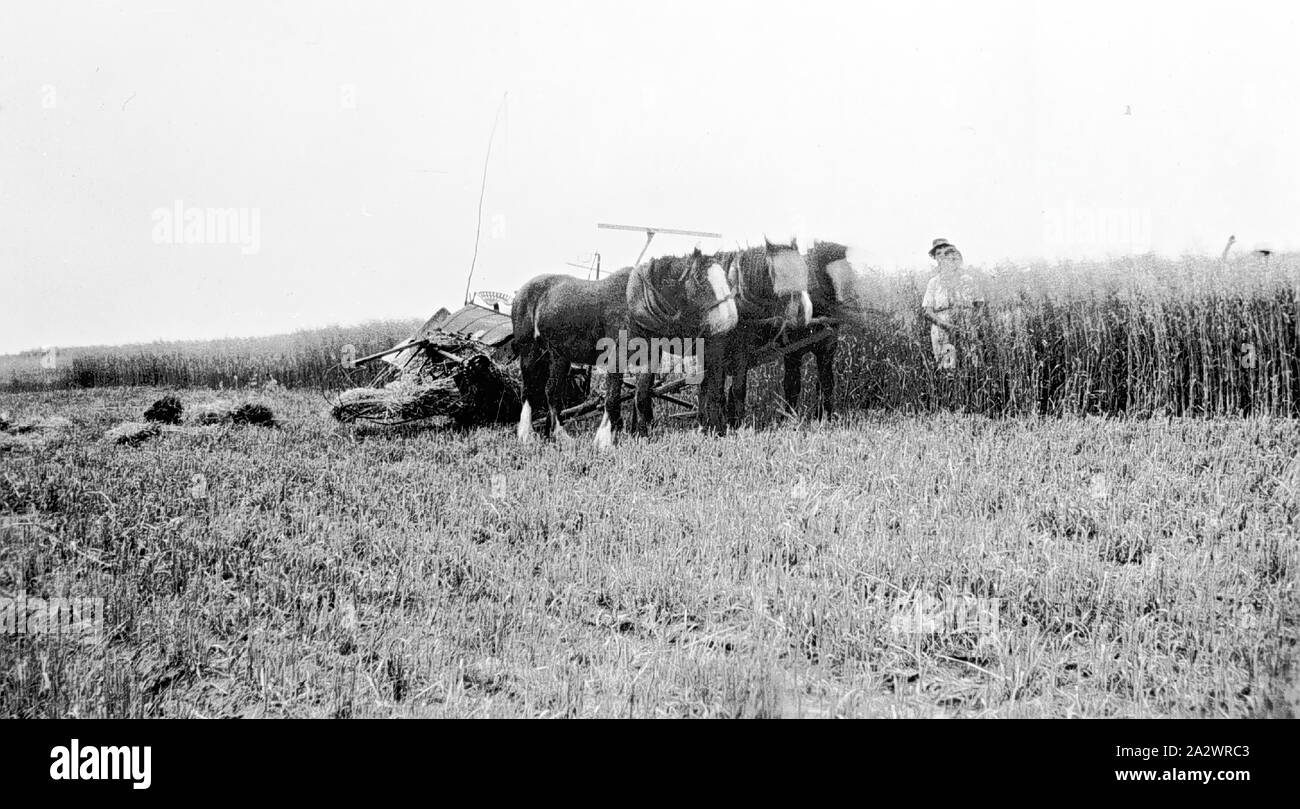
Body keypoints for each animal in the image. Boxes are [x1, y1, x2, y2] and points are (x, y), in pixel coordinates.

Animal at [513, 248, 738, 445]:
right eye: (701, 280)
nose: (731, 318)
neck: (635, 302)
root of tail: (523, 291)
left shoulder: (649, 360)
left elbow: (642, 397)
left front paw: (642, 436)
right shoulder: (616, 359)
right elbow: (612, 398)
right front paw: (604, 440)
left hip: (558, 356)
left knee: (551, 392)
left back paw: (553, 435)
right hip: (529, 351)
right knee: (528, 391)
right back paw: (528, 435)